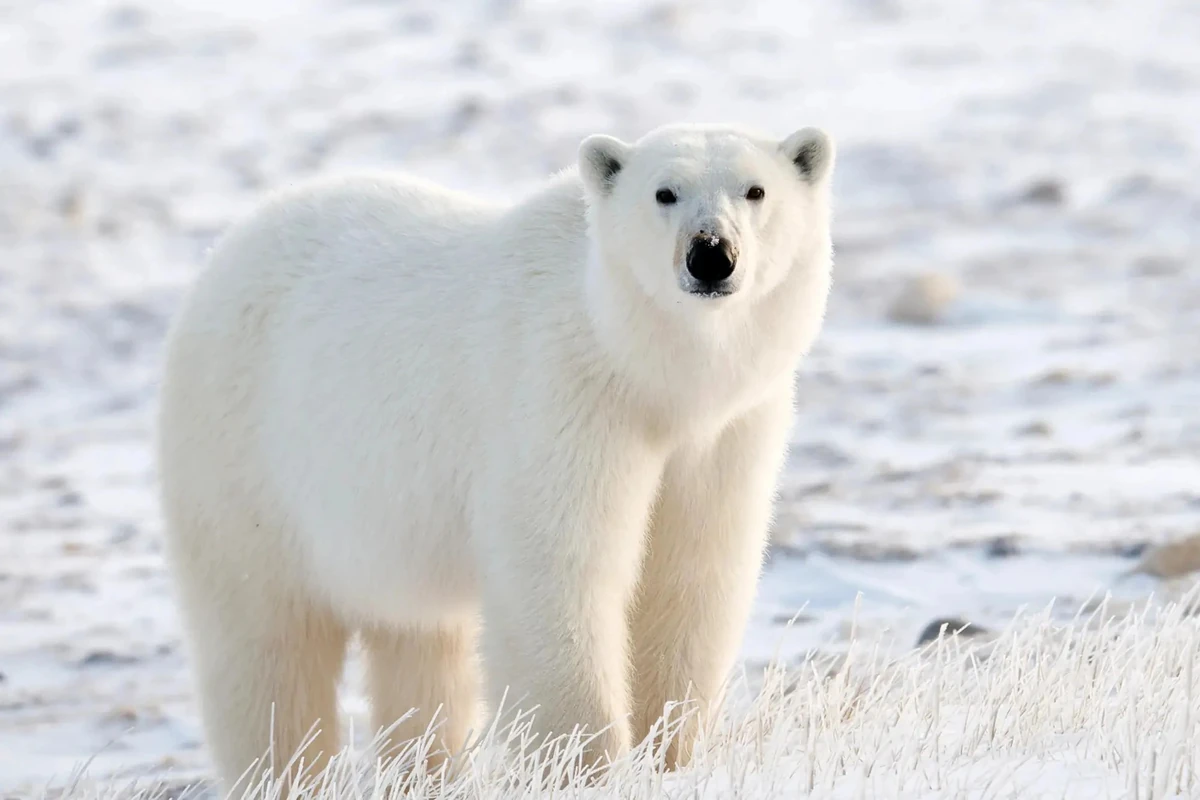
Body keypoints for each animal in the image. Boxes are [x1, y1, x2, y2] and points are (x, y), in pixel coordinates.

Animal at [156, 122, 835, 793]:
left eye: (755, 190)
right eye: (664, 192)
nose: (711, 253)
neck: (644, 371)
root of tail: (227, 248)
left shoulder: (725, 432)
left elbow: (691, 575)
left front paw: (670, 756)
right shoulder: (562, 397)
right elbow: (560, 573)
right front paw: (586, 767)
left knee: (420, 648)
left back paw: (426, 771)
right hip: (245, 464)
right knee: (267, 647)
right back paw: (285, 772)